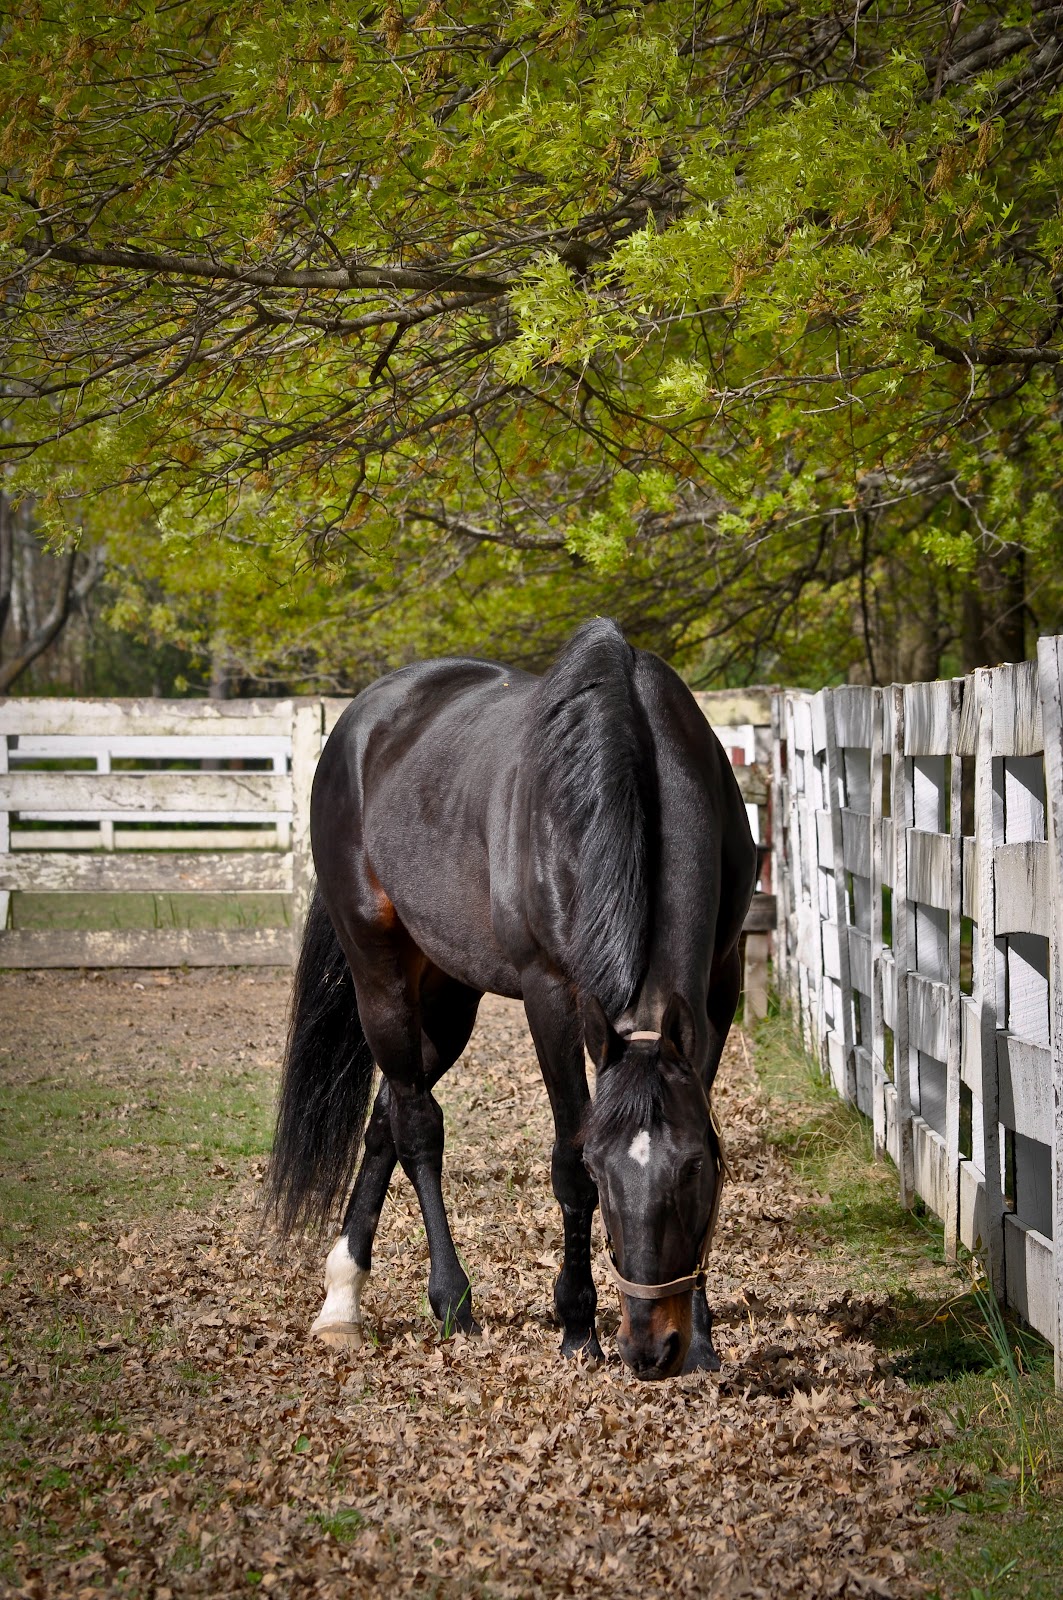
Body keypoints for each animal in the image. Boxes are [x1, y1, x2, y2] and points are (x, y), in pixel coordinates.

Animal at [266, 617, 757, 1379]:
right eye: (604, 1170)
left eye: (693, 1169)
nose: (650, 1348)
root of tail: (361, 717)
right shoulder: (548, 993)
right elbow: (564, 1159)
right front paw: (577, 1326)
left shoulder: (718, 985)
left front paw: (704, 1340)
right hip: (379, 974)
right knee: (417, 1125)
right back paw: (449, 1300)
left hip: (446, 993)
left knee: (388, 1114)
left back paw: (343, 1296)